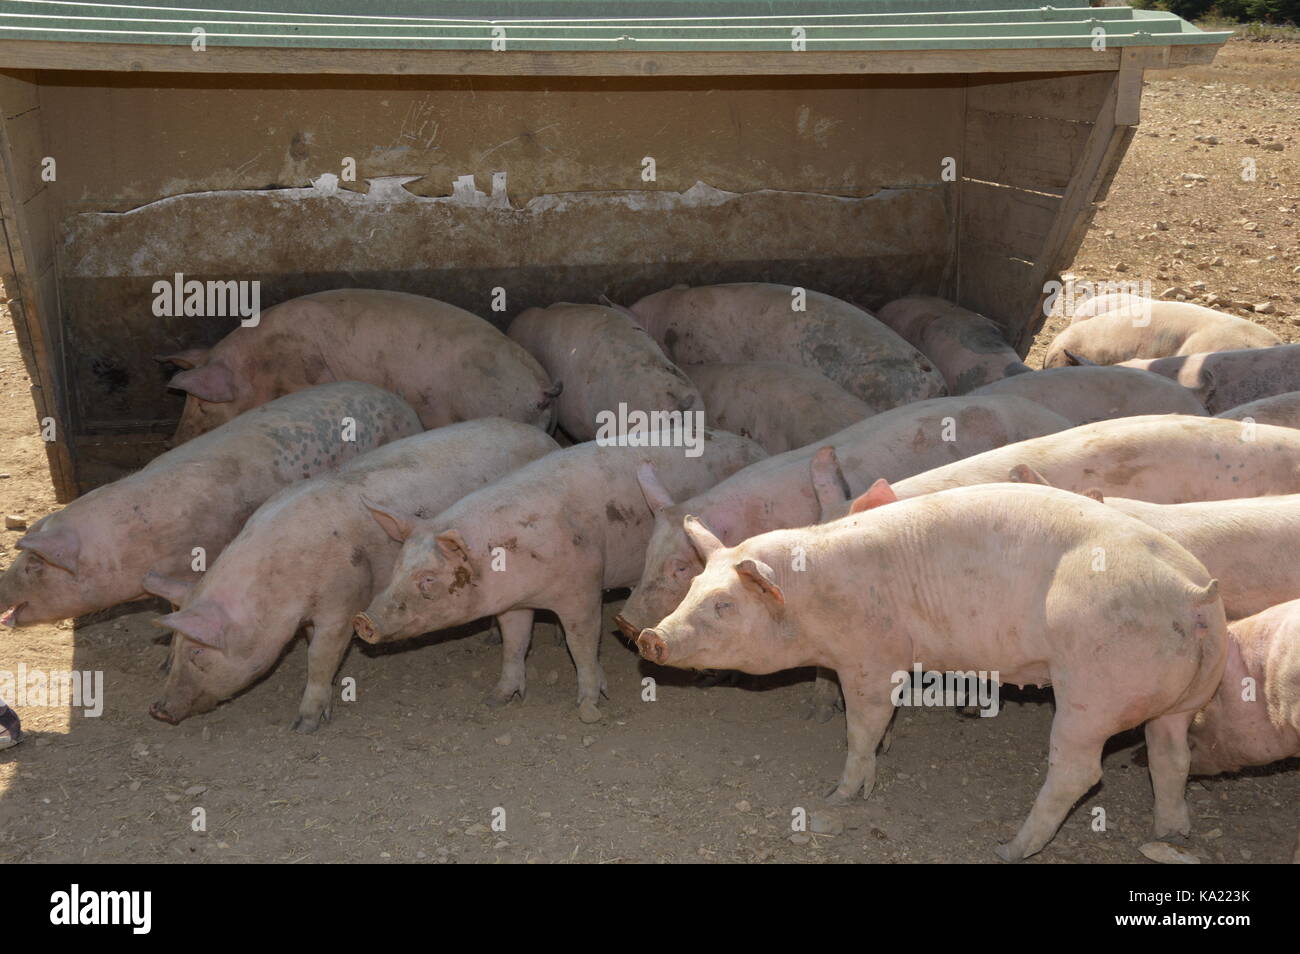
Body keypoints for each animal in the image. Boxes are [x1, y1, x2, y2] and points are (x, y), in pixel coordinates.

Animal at [144, 419, 559, 731]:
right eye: (174, 649)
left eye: (198, 651)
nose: (157, 709)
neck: (277, 589)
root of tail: (545, 437)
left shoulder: (341, 607)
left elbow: (320, 658)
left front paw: (305, 725)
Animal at [352, 431, 767, 723]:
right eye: (397, 567)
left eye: (427, 580)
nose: (363, 621)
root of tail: (758, 448)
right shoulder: (513, 603)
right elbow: (514, 643)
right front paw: (497, 698)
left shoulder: (582, 588)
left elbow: (581, 644)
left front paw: (589, 706)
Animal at [635, 482, 1228, 861]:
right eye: (693, 588)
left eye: (723, 606)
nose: (649, 637)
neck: (813, 599)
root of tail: (1195, 595)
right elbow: (881, 726)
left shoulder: (871, 656)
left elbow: (862, 726)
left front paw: (839, 796)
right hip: (1185, 697)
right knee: (1172, 756)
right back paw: (1172, 835)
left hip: (1093, 690)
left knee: (1080, 771)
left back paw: (1008, 849)